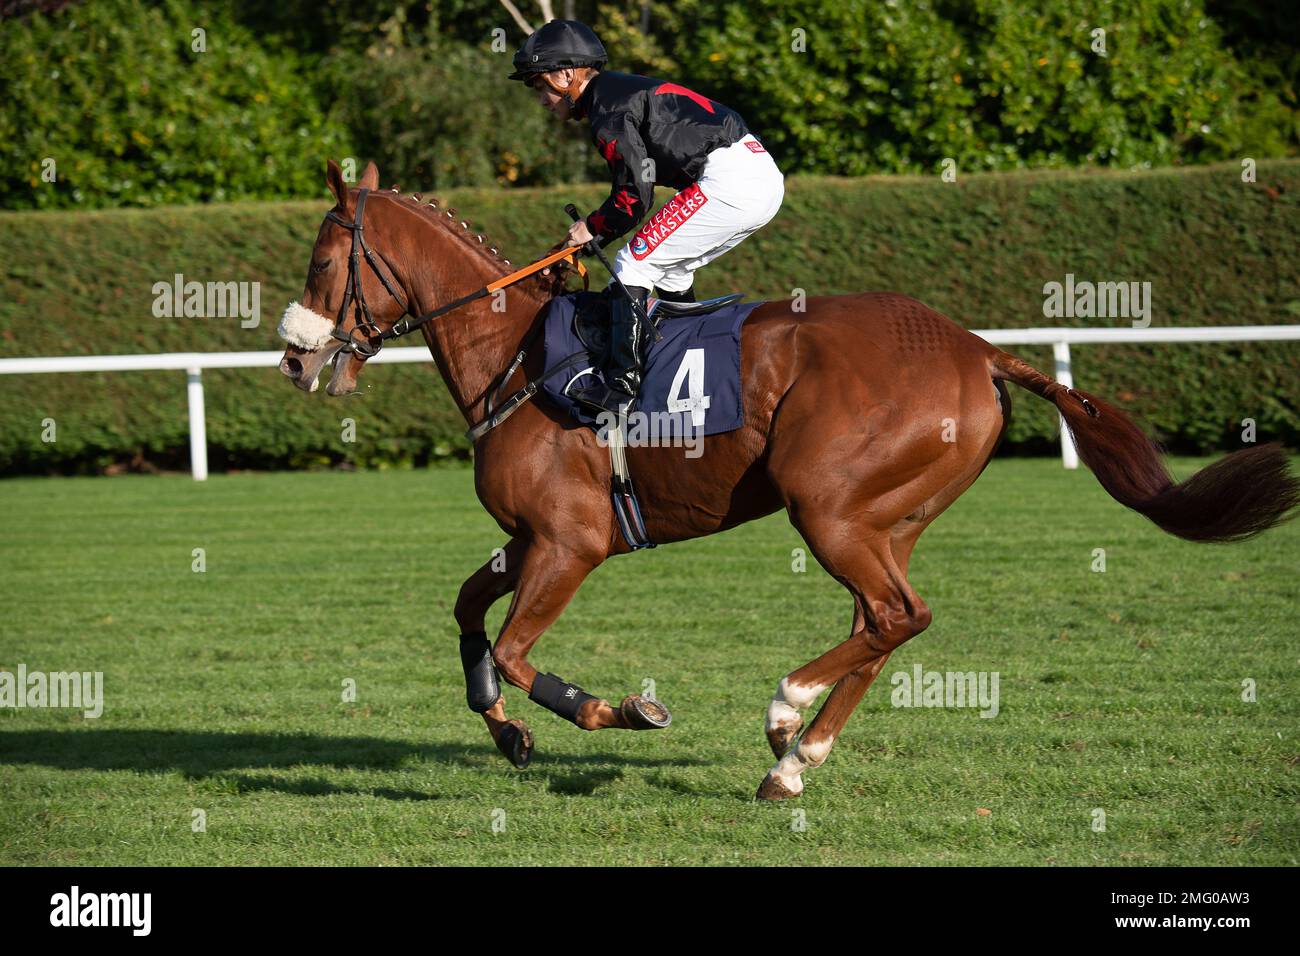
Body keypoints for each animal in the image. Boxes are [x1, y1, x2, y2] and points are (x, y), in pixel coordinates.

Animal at [278, 160, 1299, 799]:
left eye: (323, 261)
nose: (293, 357)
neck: (518, 359)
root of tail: (977, 349)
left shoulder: (570, 545)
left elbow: (522, 654)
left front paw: (623, 709)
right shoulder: (528, 539)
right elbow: (467, 617)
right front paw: (505, 731)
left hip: (829, 506)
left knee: (896, 615)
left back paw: (786, 712)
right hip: (885, 518)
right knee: (884, 622)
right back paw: (794, 758)